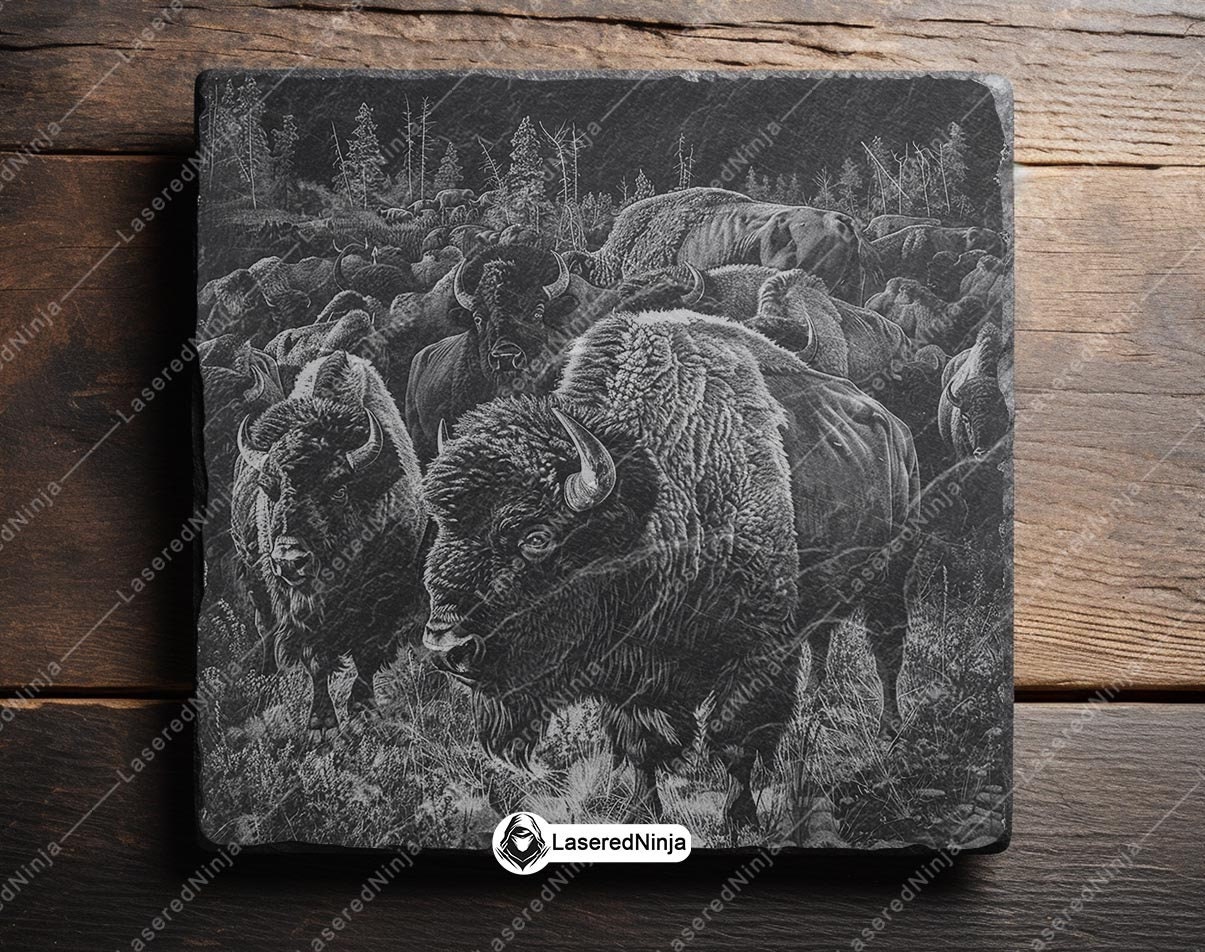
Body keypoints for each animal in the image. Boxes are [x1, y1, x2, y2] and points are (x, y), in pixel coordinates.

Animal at [232, 350, 427, 742]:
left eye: (338, 490)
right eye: (270, 490)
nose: (289, 559)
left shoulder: (386, 600)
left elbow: (367, 654)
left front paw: (363, 711)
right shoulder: (300, 609)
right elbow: (317, 660)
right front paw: (322, 725)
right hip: (256, 581)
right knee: (264, 626)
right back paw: (268, 675)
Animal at [421, 310, 918, 827]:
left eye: (536, 537)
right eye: (443, 528)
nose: (446, 647)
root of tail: (895, 427)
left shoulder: (757, 650)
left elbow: (734, 738)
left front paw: (740, 816)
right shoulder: (632, 671)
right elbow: (643, 744)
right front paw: (643, 812)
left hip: (892, 573)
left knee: (887, 651)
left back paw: (889, 733)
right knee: (823, 639)